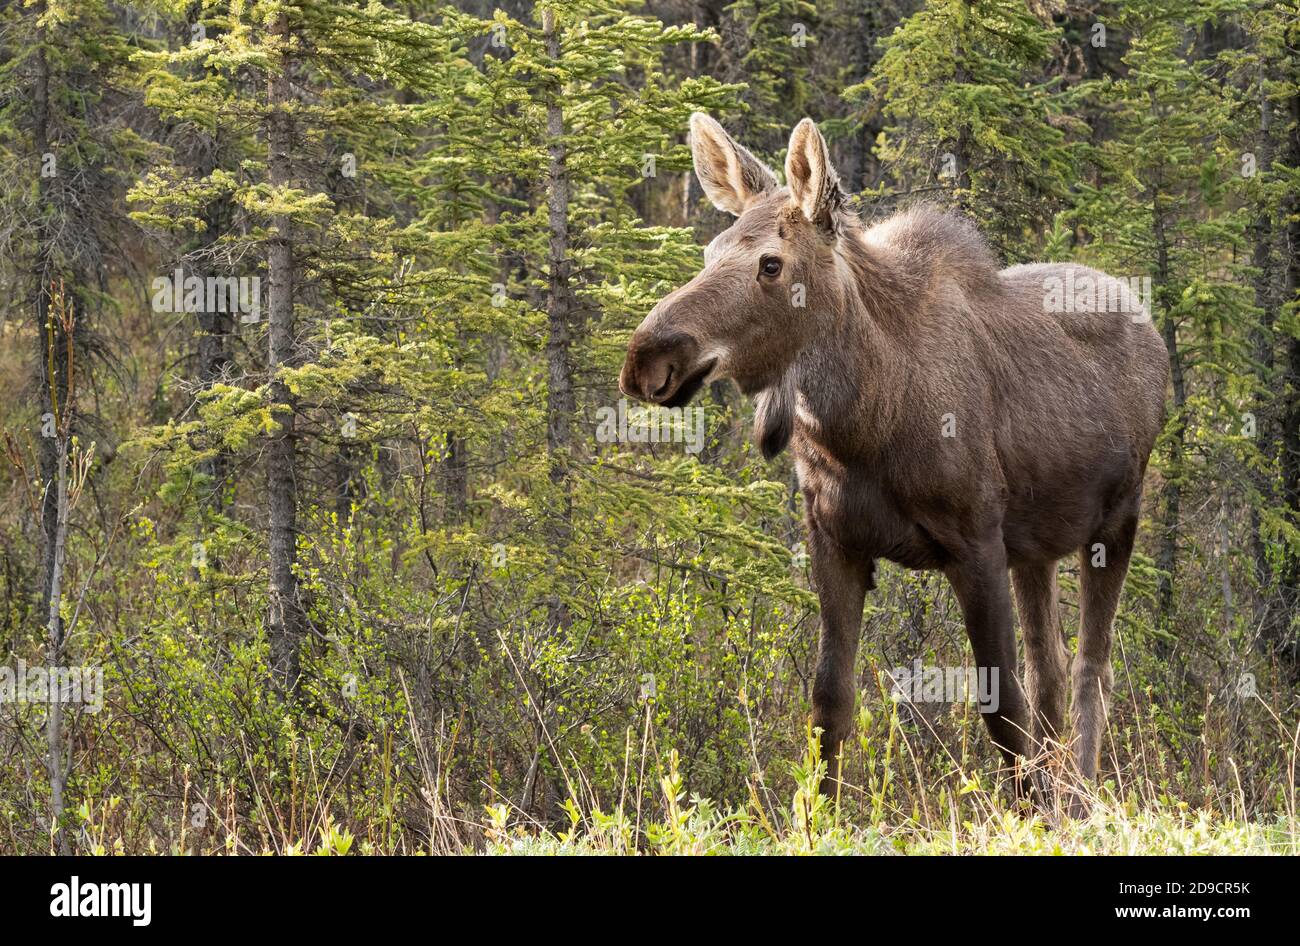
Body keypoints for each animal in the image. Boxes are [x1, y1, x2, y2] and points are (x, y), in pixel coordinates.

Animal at [619, 114, 1168, 806]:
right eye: (709, 254)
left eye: (771, 263)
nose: (646, 357)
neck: (863, 422)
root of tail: (1146, 318)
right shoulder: (836, 541)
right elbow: (829, 701)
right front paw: (819, 815)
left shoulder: (975, 542)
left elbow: (999, 706)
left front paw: (1025, 812)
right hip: (1036, 549)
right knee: (1052, 665)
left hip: (1117, 521)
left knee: (1092, 665)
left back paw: (1080, 796)